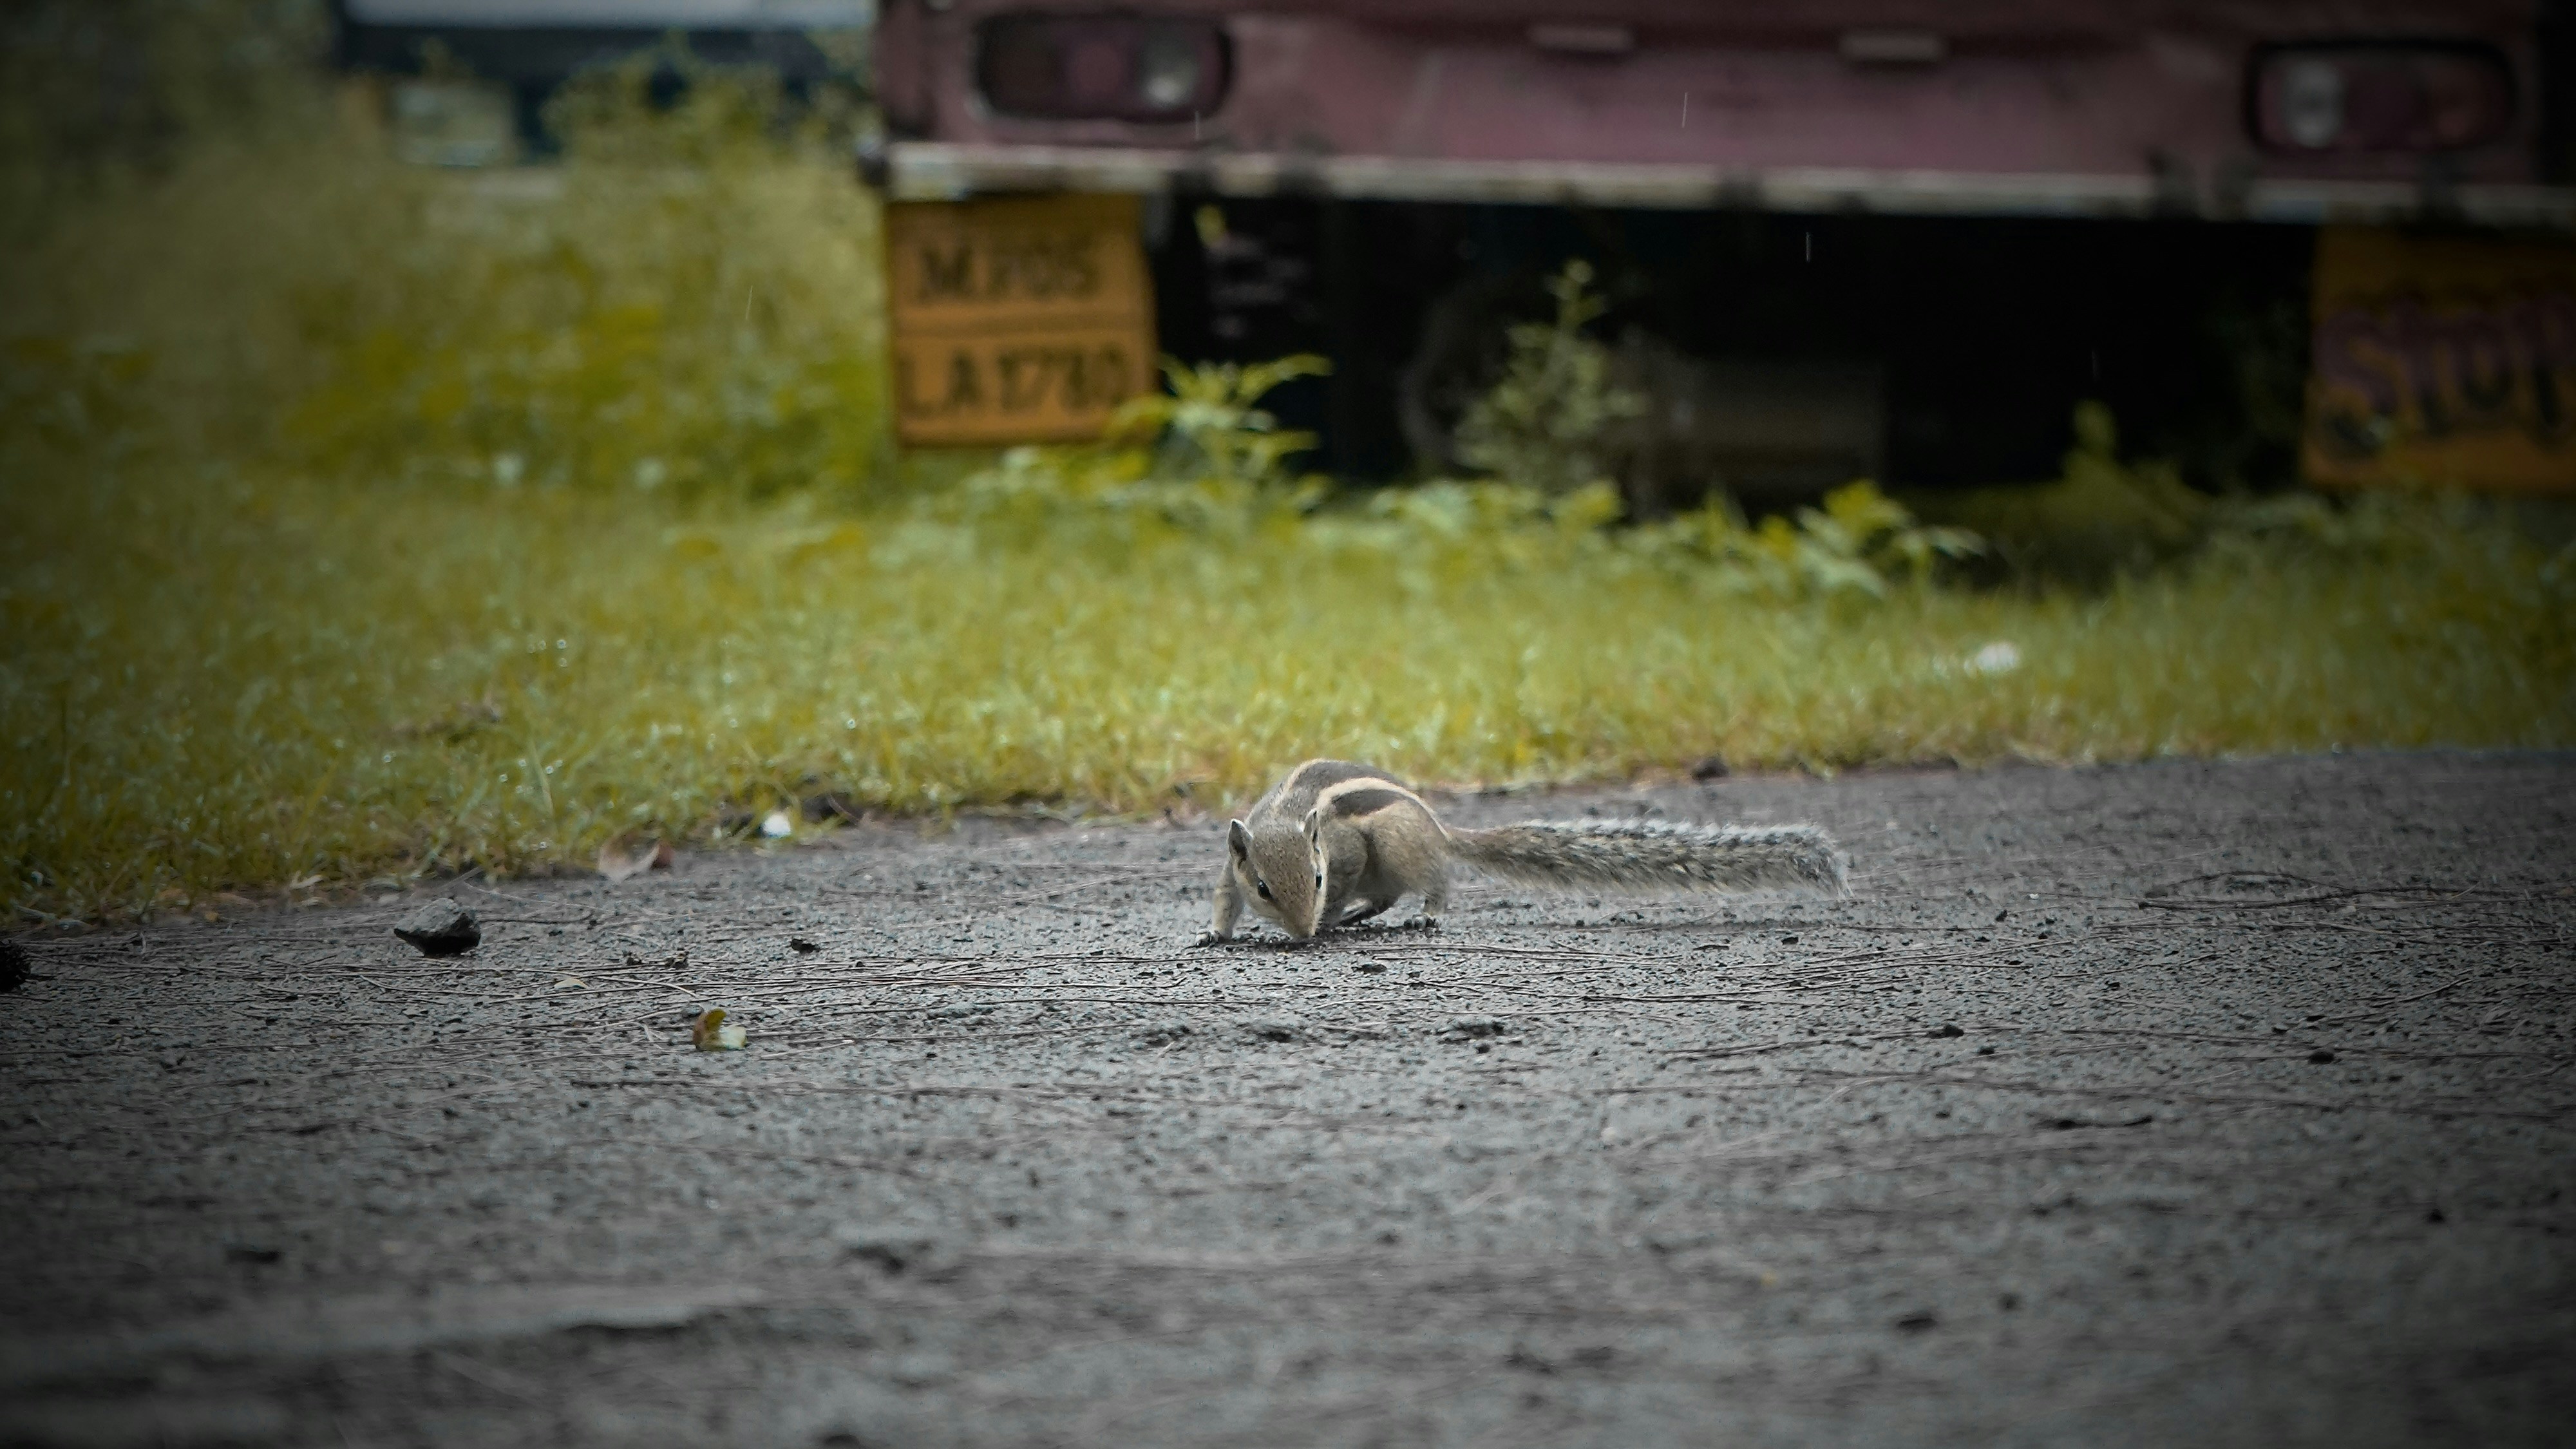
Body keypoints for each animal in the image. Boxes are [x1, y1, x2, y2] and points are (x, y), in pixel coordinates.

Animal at [1193, 758, 1845, 945]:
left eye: (1317, 878)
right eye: (1264, 888)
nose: (1303, 936)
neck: (1286, 815)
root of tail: (1441, 828)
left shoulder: (1348, 852)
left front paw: (1328, 919)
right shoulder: (1230, 865)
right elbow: (1223, 897)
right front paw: (1214, 934)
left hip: (1399, 846)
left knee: (1430, 883)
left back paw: (1423, 914)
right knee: (1384, 899)